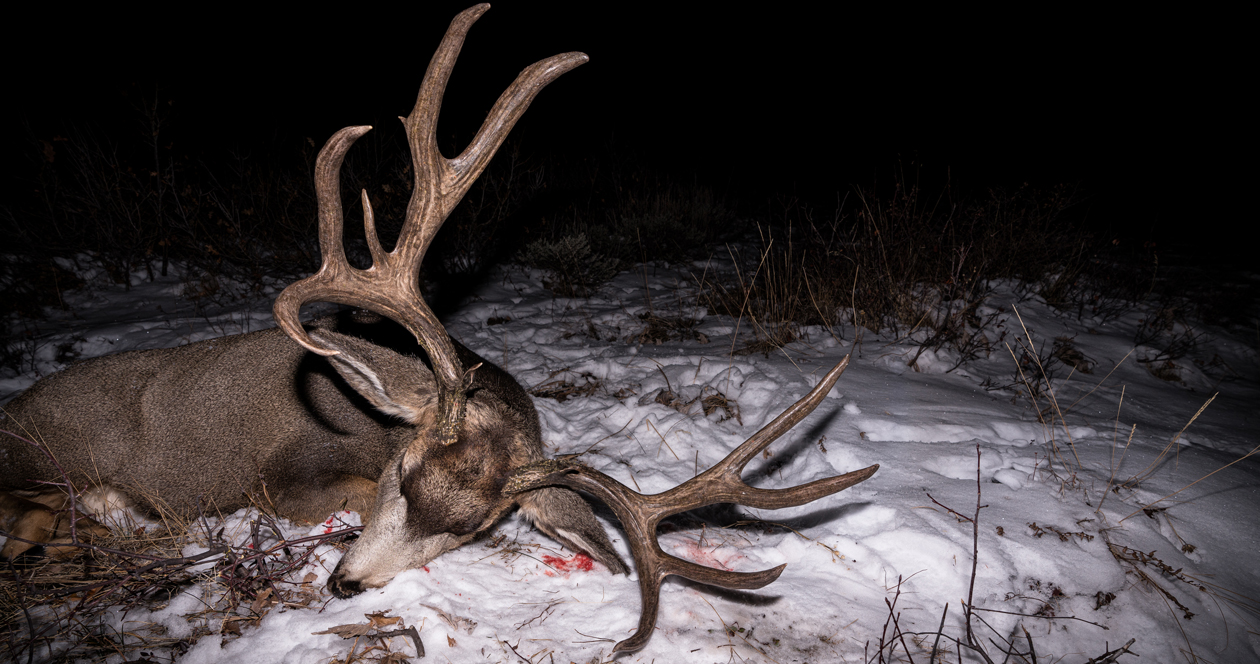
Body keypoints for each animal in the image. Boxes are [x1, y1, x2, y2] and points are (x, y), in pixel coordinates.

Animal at [0, 4, 877, 652]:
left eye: (468, 531)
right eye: (402, 473)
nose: (346, 584)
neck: (376, 423)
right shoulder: (286, 476)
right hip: (42, 458)